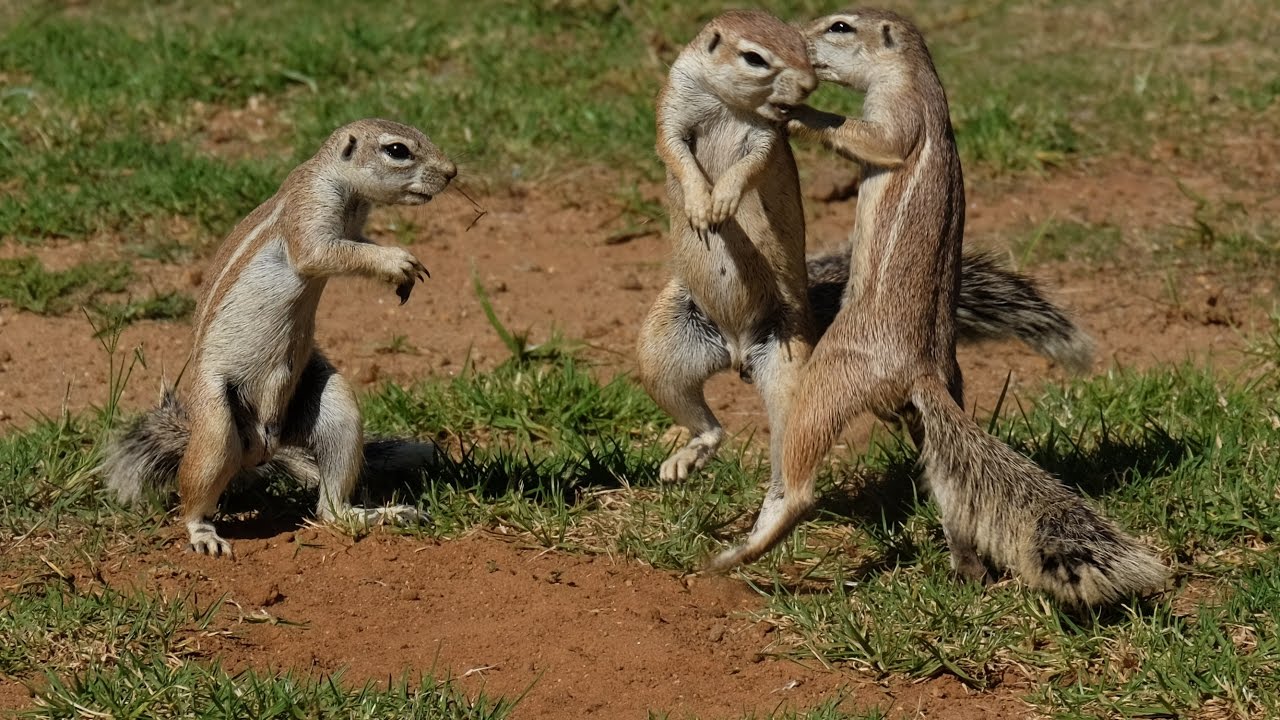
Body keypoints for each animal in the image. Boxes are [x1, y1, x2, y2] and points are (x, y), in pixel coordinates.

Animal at [102, 118, 456, 558]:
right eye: (397, 150)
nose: (452, 172)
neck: (339, 182)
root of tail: (259, 450)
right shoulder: (310, 213)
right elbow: (324, 253)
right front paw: (397, 261)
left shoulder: (353, 228)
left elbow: (358, 245)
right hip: (216, 426)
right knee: (194, 495)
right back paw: (203, 534)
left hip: (334, 406)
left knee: (328, 510)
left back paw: (377, 514)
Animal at [637, 11, 1093, 494]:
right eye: (755, 57)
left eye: (819, 37)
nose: (805, 84)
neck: (728, 103)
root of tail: (736, 352)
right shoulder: (674, 101)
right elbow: (673, 148)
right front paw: (699, 202)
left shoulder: (784, 132)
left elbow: (757, 161)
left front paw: (727, 193)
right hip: (662, 348)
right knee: (705, 422)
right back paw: (684, 458)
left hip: (792, 359)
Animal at [708, 10, 1166, 608]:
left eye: (840, 26)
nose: (798, 42)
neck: (917, 80)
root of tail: (921, 372)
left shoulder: (900, 116)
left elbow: (872, 138)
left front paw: (797, 114)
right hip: (929, 422)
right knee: (952, 489)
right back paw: (968, 569)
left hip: (828, 378)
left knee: (804, 481)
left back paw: (742, 551)